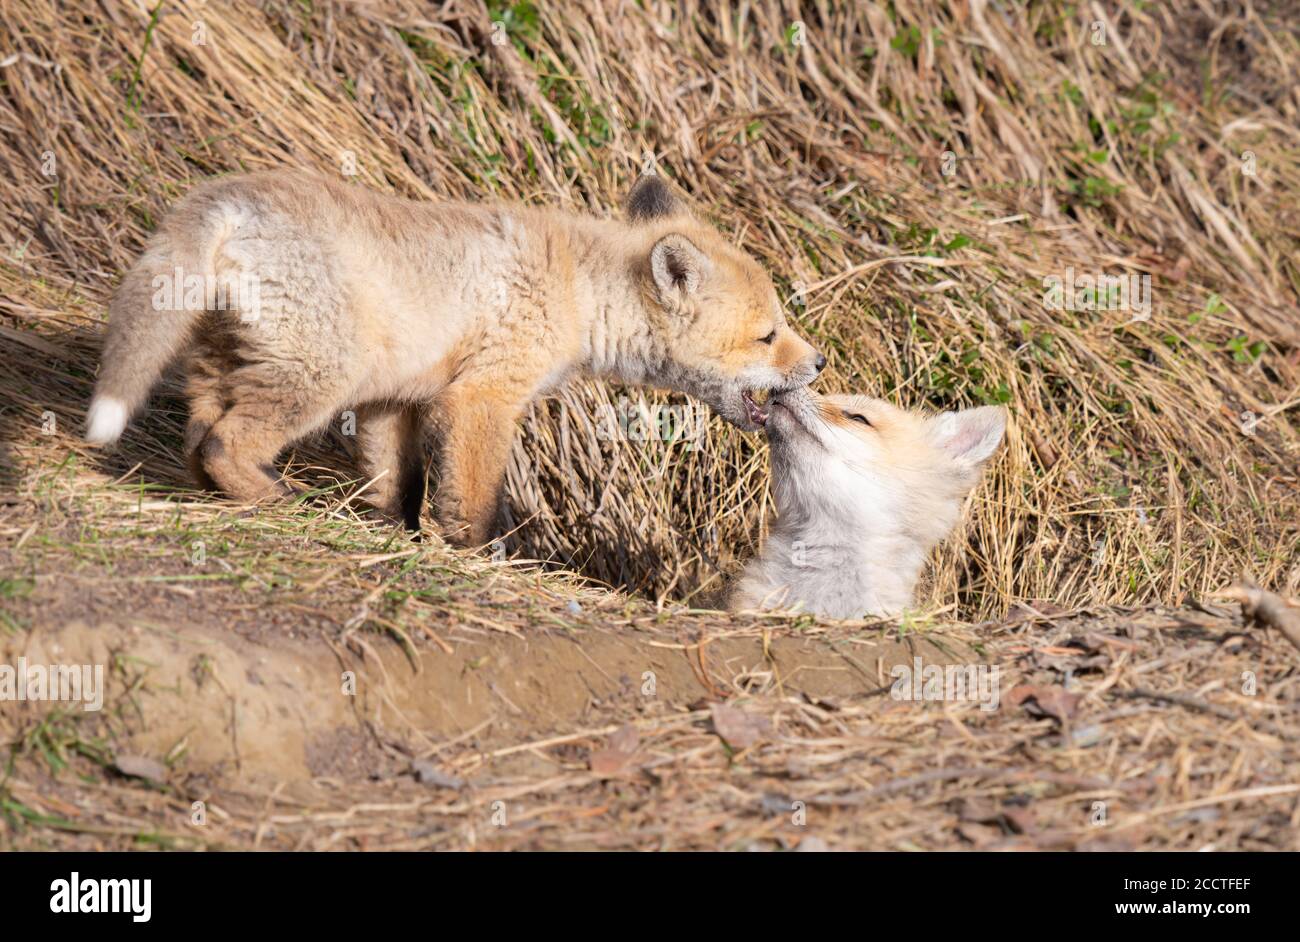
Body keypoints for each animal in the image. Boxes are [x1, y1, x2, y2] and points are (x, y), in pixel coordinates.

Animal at [85, 170, 825, 546]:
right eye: (768, 335)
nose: (818, 364)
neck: (578, 289)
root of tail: (234, 196)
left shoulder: (392, 398)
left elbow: (395, 486)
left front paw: (394, 533)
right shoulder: (483, 396)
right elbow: (473, 495)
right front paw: (470, 550)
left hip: (234, 357)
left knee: (199, 435)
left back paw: (219, 496)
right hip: (320, 376)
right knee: (223, 442)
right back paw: (275, 499)